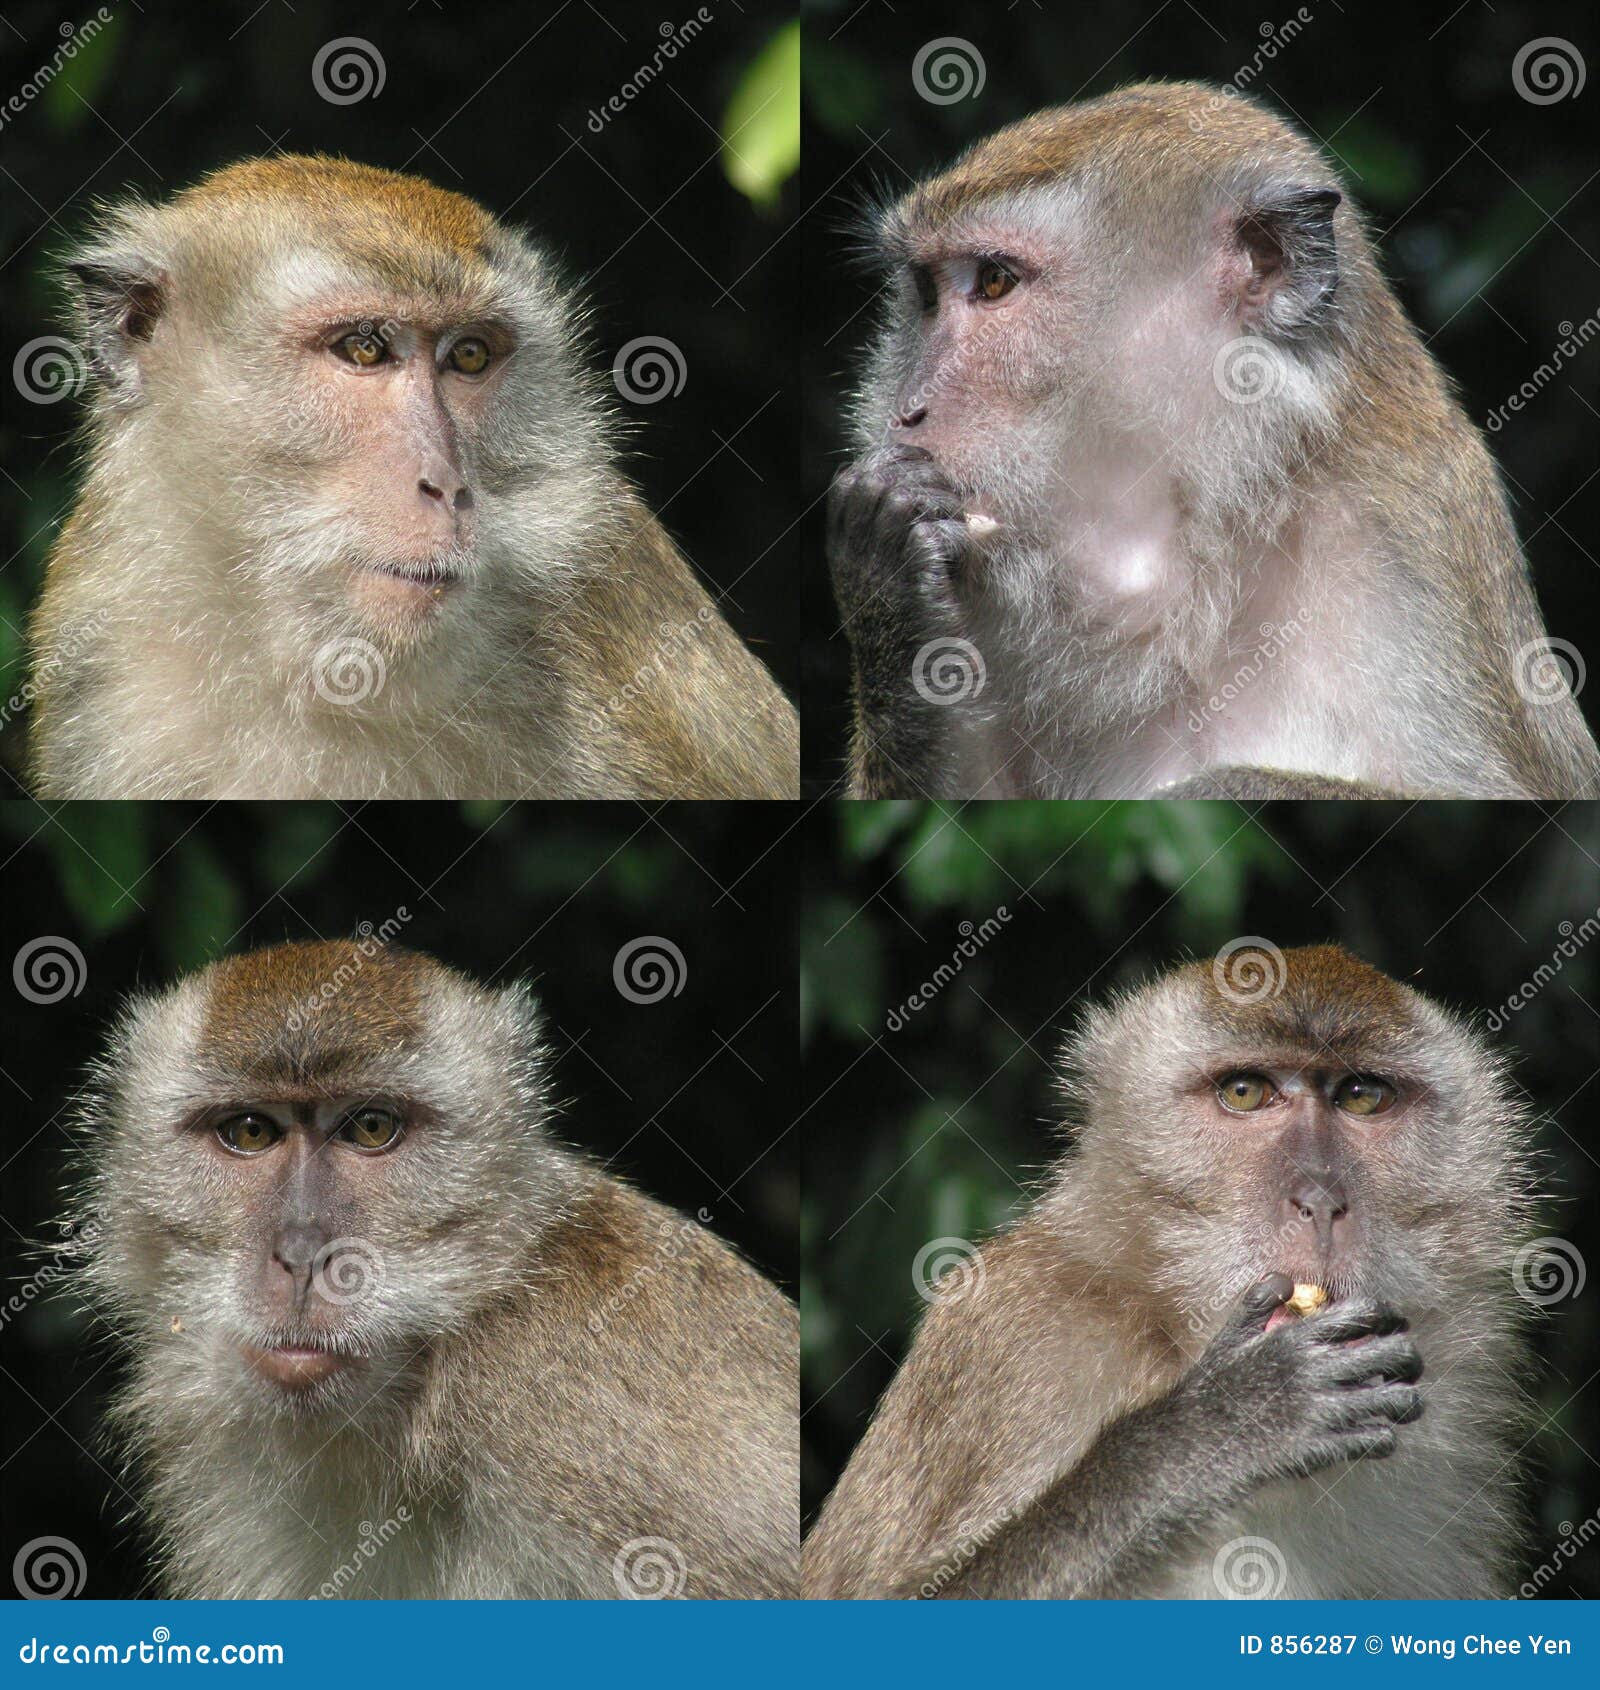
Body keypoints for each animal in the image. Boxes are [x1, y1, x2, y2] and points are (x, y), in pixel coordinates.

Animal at [802, 946, 1534, 1598]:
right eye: (1245, 1091)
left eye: (1362, 1097)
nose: (1322, 1200)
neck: (1173, 1330)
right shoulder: (1015, 1339)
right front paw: (1216, 1427)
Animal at [828, 82, 1600, 800]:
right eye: (928, 295)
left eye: (993, 282)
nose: (908, 411)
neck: (1215, 540)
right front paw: (887, 585)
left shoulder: (1407, 540)